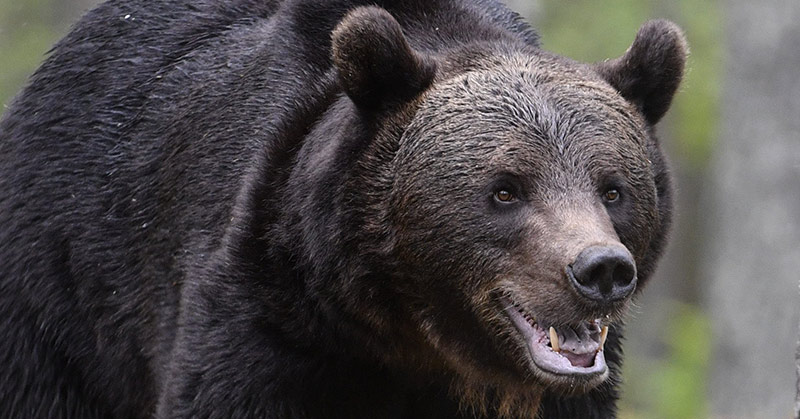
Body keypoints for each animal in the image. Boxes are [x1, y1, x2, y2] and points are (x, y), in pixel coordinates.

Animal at [0, 0, 686, 418]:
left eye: (613, 189)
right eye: (505, 189)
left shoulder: (566, 394)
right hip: (64, 292)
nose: (600, 269)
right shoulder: (271, 317)